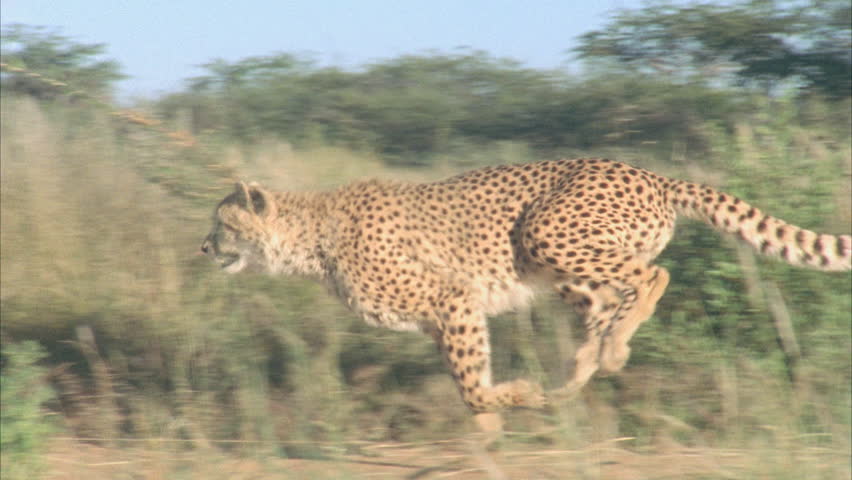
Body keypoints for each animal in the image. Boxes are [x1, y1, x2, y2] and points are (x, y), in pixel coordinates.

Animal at [201, 157, 851, 433]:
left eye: (224, 223)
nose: (204, 247)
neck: (308, 236)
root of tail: (650, 173)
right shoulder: (447, 316)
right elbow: (468, 383)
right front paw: (511, 412)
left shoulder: (452, 298)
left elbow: (472, 389)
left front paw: (512, 397)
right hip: (558, 267)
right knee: (606, 305)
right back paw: (590, 363)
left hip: (546, 232)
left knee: (653, 276)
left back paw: (609, 352)